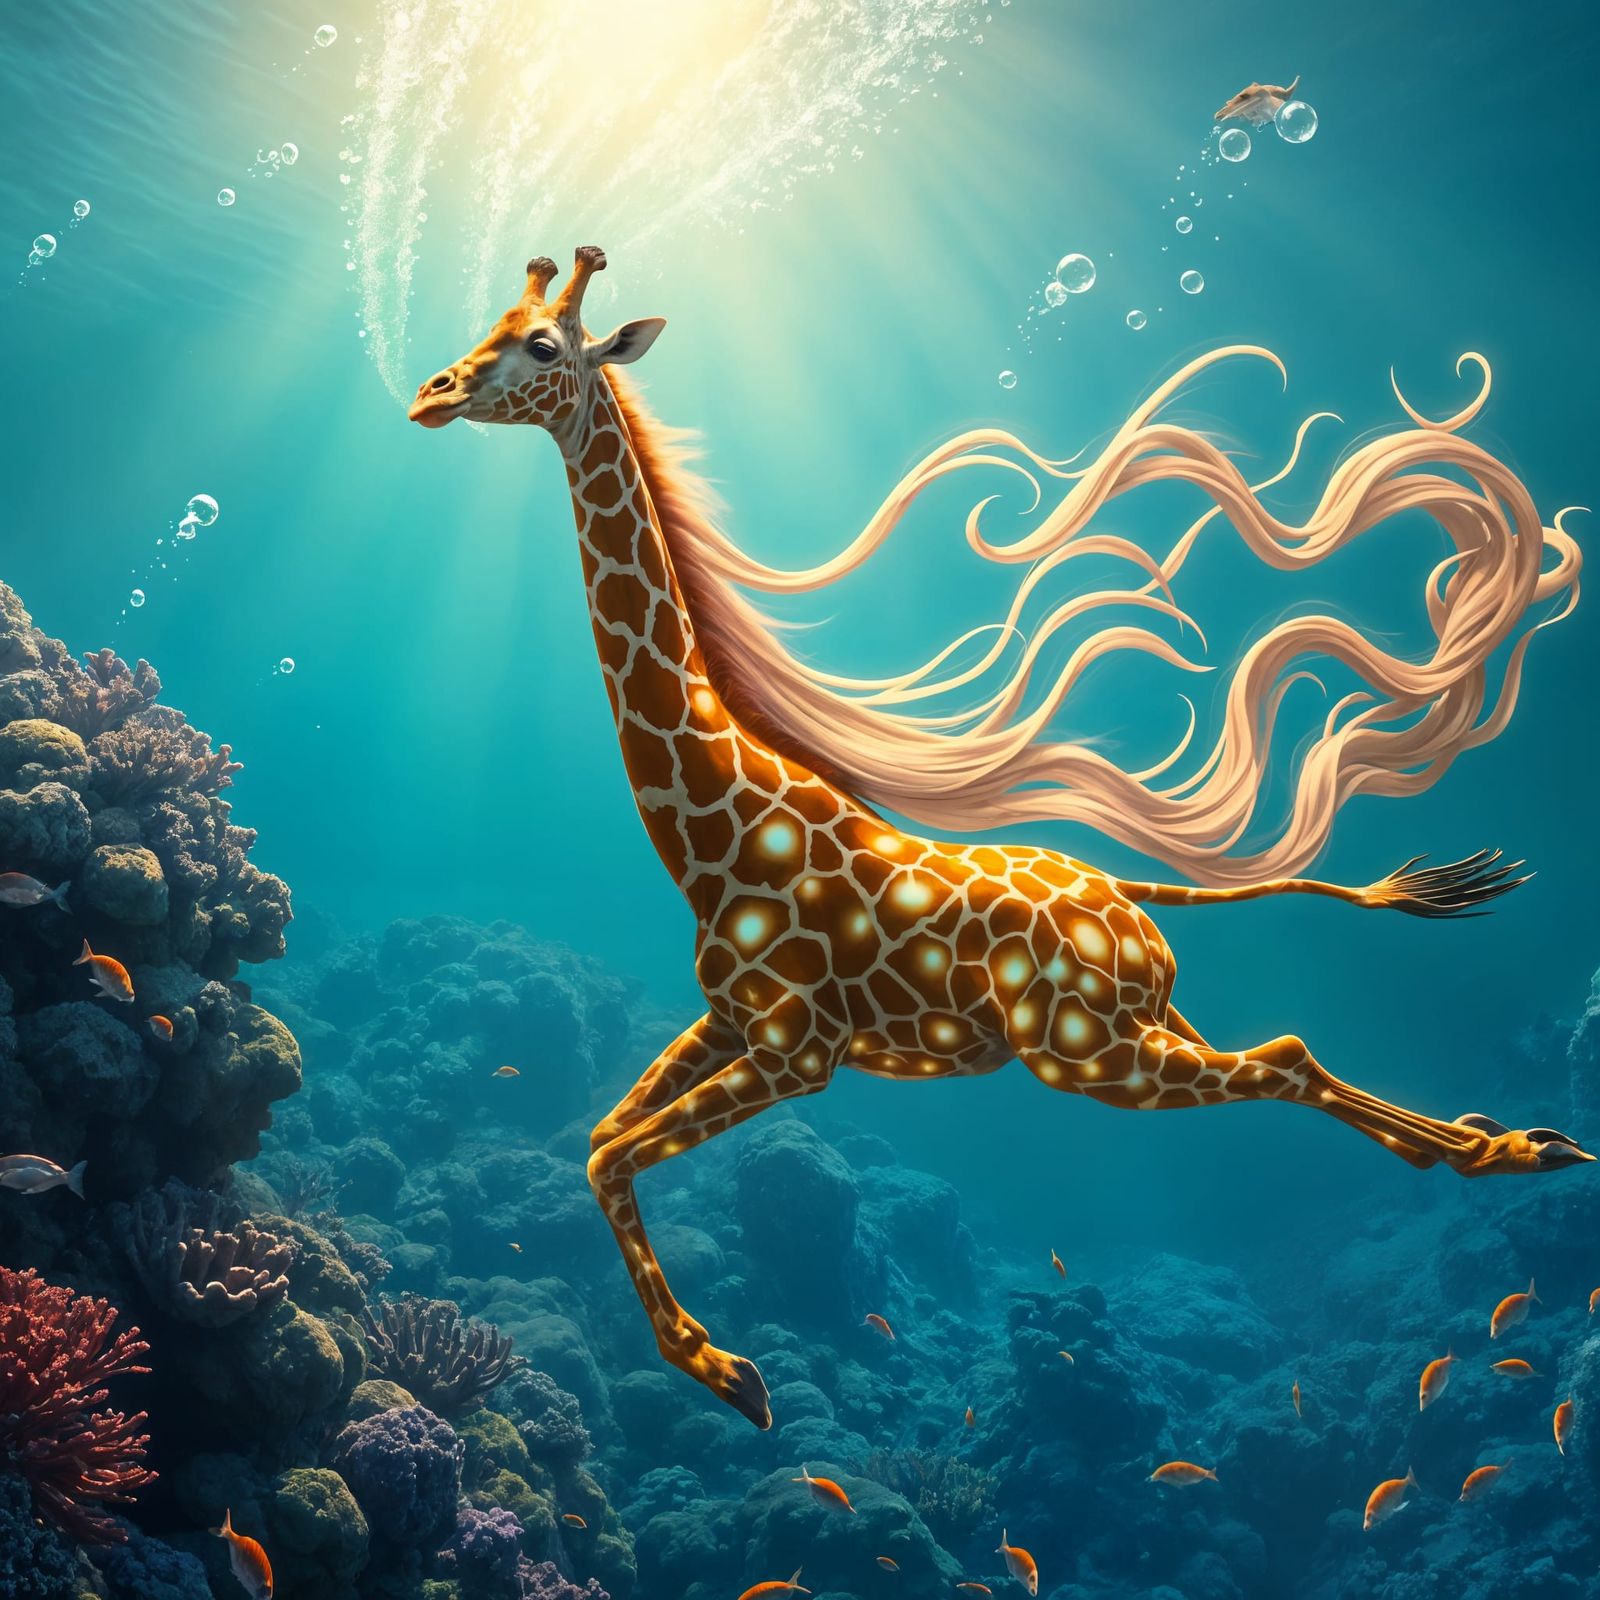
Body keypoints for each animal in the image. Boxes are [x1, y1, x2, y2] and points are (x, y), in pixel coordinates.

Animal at [409, 247, 1591, 1429]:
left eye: (543, 346)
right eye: (492, 324)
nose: (431, 393)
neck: (722, 829)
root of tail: (1130, 895)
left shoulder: (796, 1051)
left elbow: (615, 1155)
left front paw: (728, 1372)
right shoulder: (726, 1024)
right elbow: (597, 1142)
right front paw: (722, 1364)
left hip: (1088, 1054)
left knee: (1287, 1058)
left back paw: (1518, 1146)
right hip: (1142, 1024)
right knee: (1278, 1059)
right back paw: (1511, 1144)